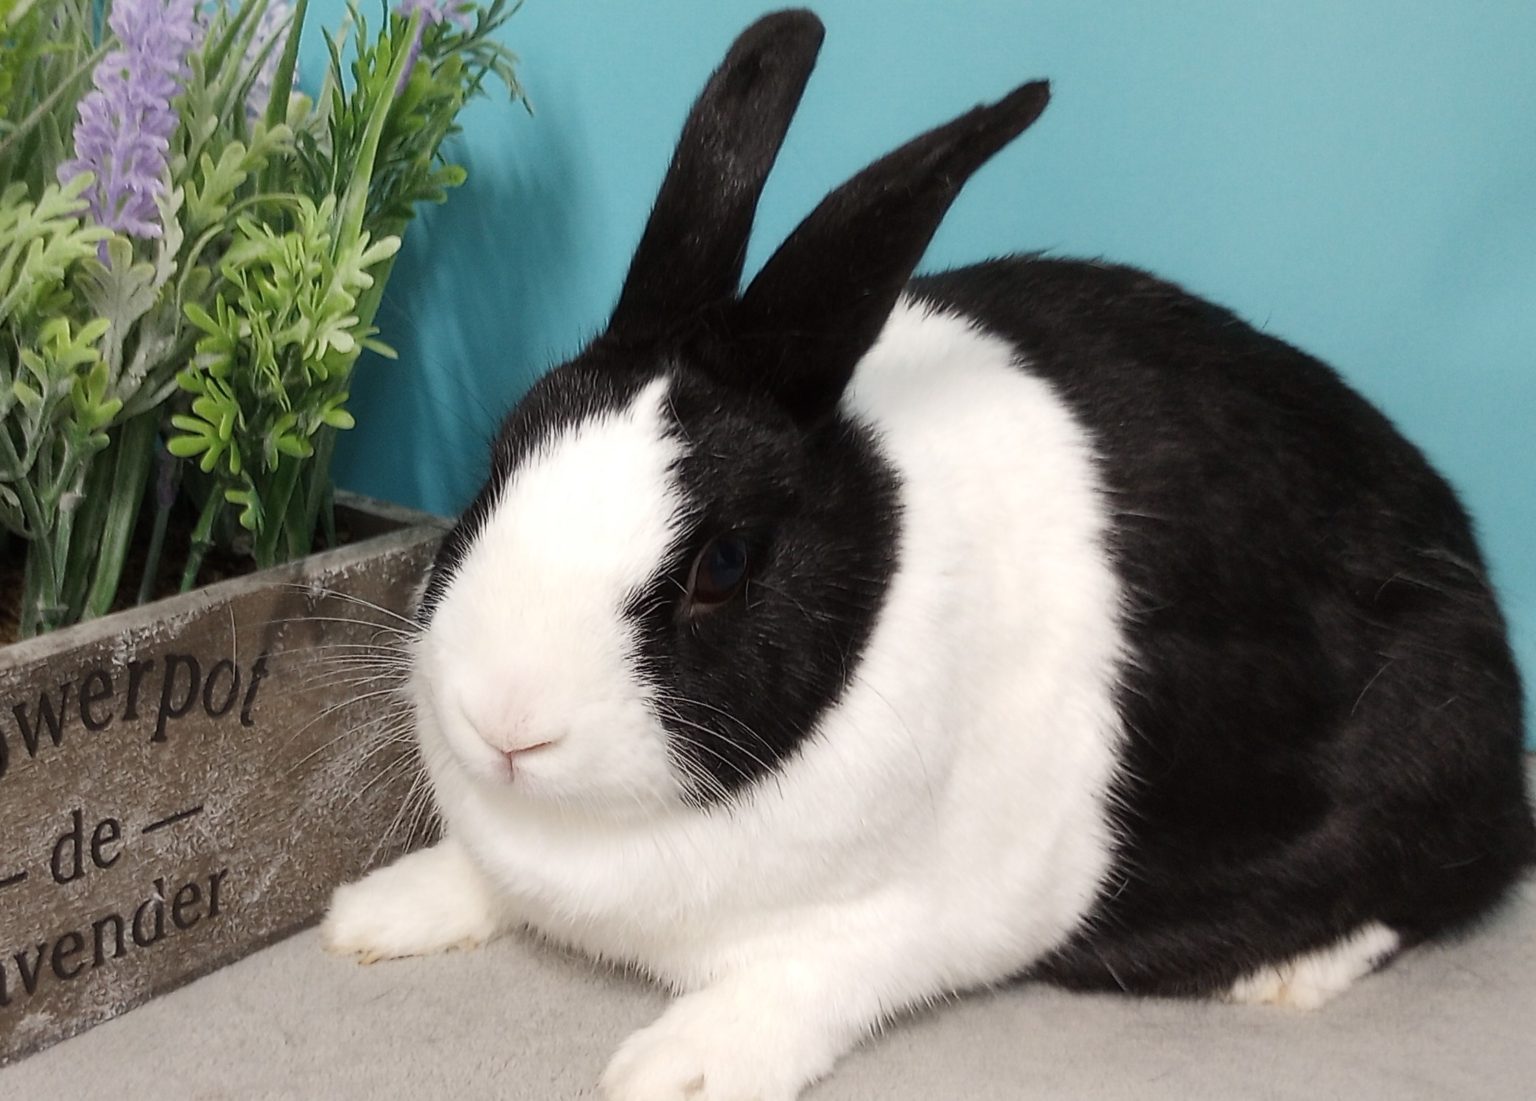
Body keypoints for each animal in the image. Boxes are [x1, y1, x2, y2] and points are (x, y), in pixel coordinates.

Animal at [321, 9, 1534, 1100]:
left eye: (725, 564)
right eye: (497, 461)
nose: (502, 722)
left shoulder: (909, 922)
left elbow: (800, 985)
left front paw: (676, 1069)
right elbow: (481, 878)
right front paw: (372, 913)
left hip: (1419, 755)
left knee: (1442, 882)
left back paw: (1282, 975)